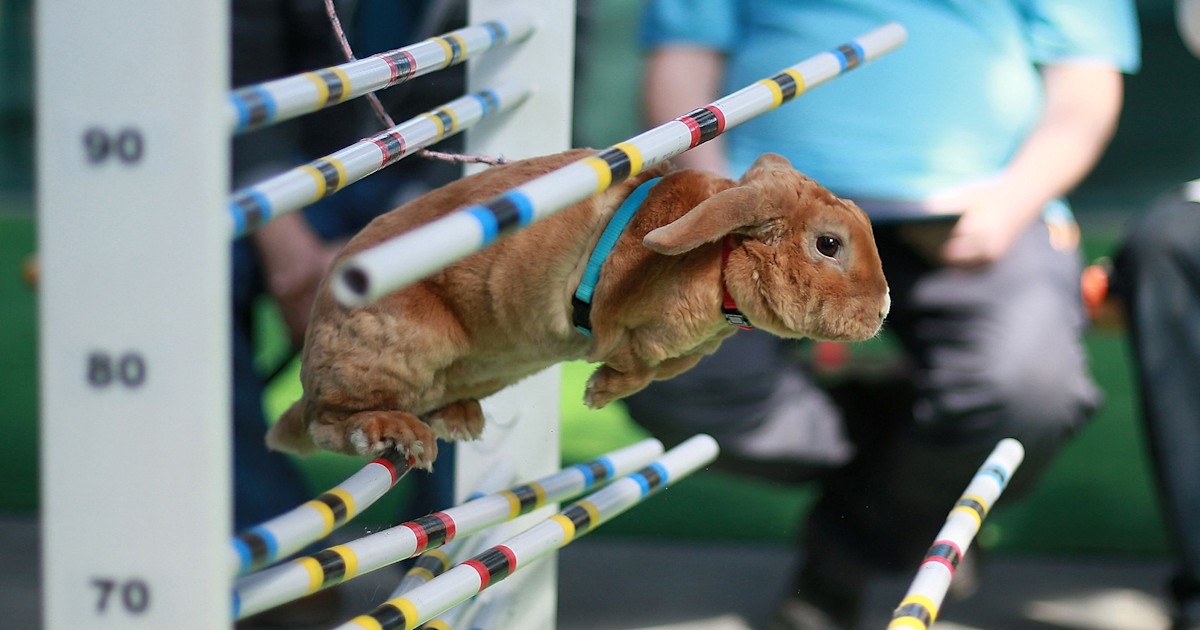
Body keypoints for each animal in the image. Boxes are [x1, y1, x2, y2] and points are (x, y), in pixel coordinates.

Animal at [267, 148, 890, 470]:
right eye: (828, 245)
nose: (884, 309)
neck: (718, 259)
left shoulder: (681, 352)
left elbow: (656, 371)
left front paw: (599, 392)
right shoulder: (621, 325)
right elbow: (632, 362)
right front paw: (597, 393)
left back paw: (459, 420)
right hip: (396, 349)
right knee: (329, 421)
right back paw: (395, 434)